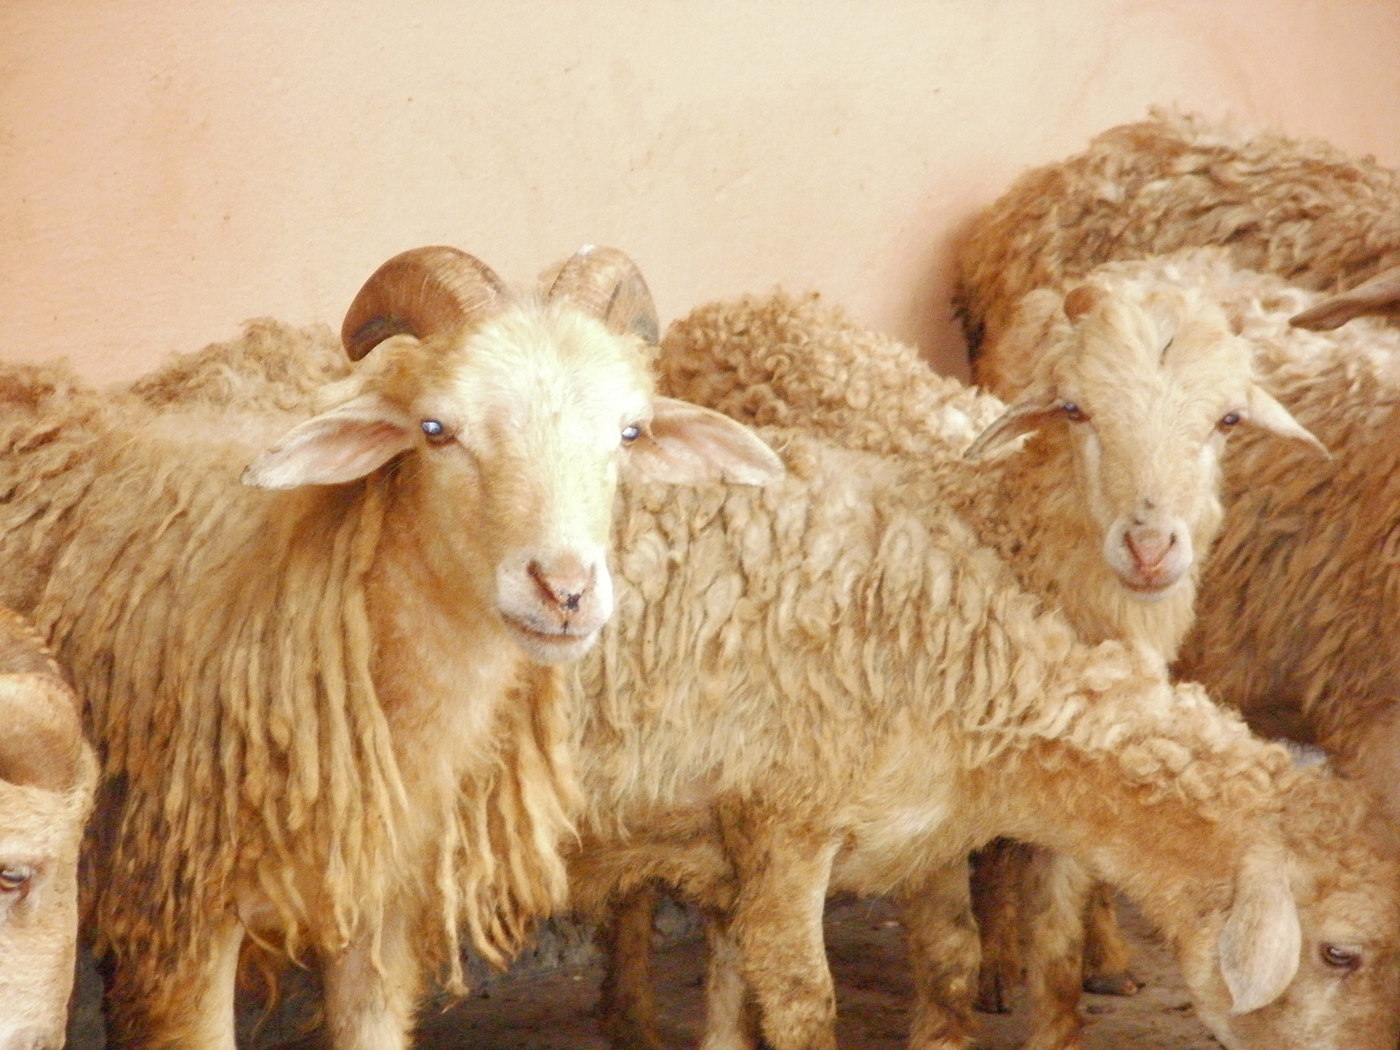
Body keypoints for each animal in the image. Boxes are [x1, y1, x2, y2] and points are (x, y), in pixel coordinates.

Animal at [595, 276, 1326, 1050]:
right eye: (1076, 409)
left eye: (1228, 419)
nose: (1151, 546)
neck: (1006, 519)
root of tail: (737, 306)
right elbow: (949, 947)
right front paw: (965, 1000)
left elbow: (1059, 936)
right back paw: (631, 1012)